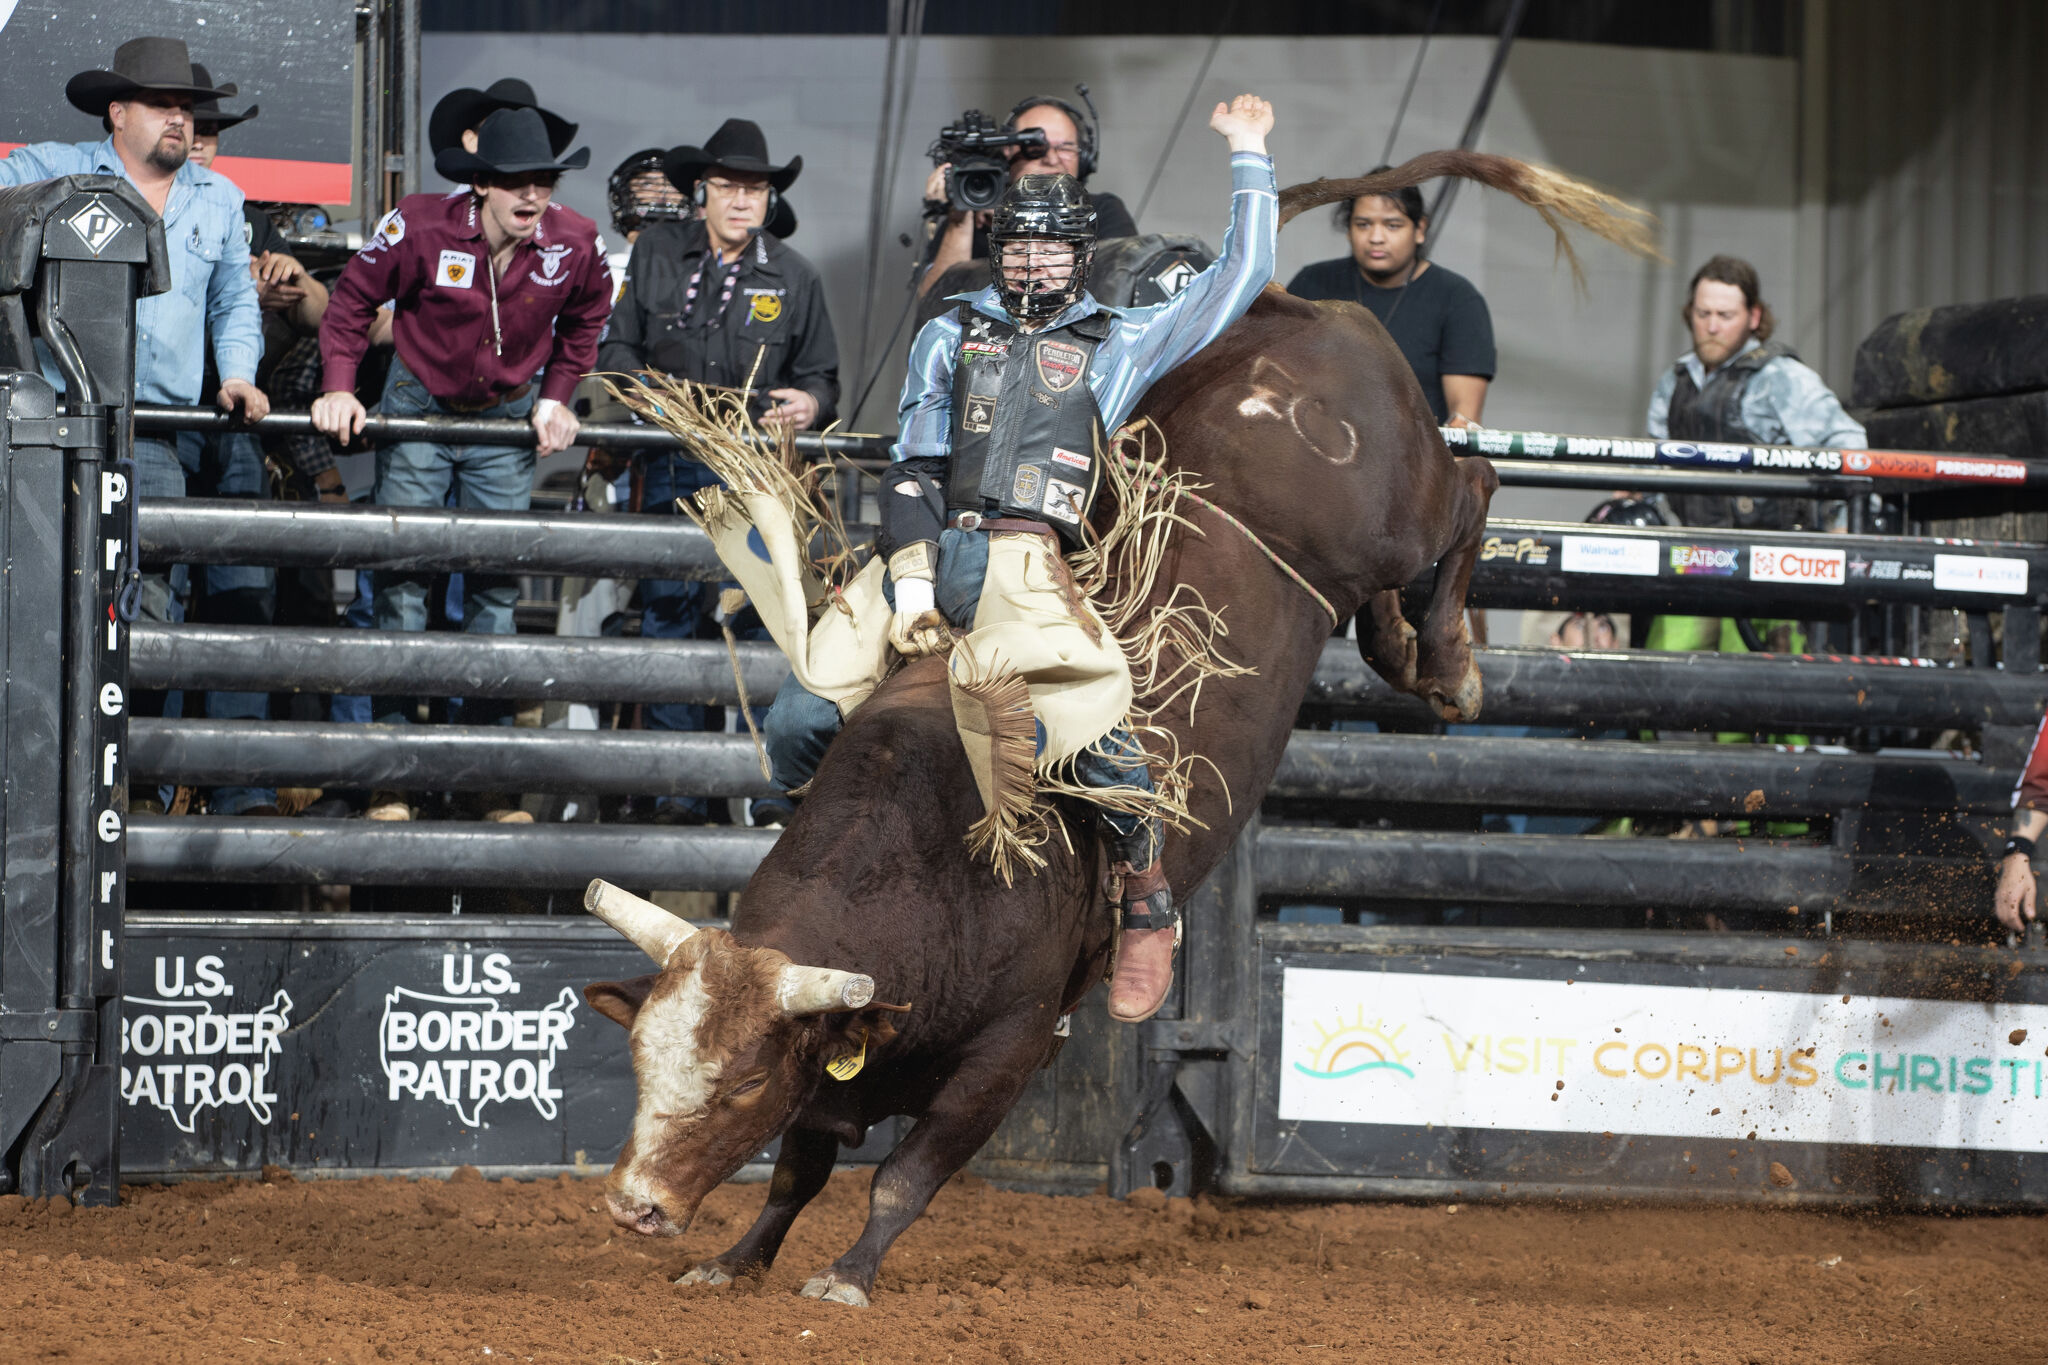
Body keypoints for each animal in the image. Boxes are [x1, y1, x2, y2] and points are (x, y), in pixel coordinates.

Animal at [583, 150, 1659, 1305]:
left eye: (740, 1083)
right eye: (642, 1057)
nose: (633, 1206)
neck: (927, 866)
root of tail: (1276, 305)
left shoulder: (1011, 1051)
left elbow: (901, 1177)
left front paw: (847, 1275)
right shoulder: (846, 1060)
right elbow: (800, 1168)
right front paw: (735, 1261)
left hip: (1400, 502)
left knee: (1471, 488)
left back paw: (1453, 664)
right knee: (1396, 585)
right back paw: (1406, 653)